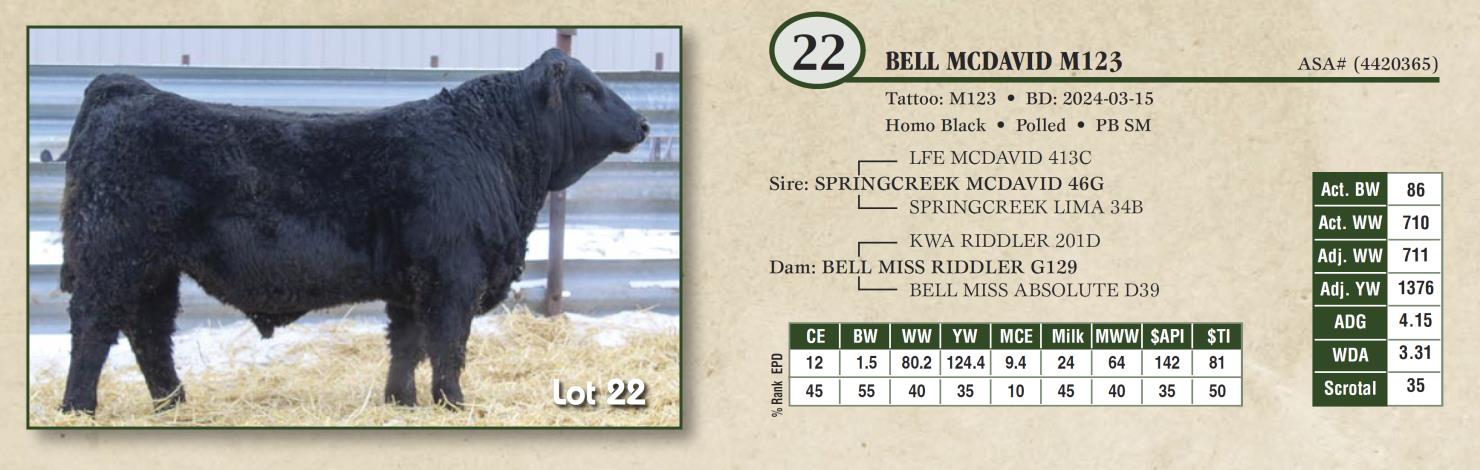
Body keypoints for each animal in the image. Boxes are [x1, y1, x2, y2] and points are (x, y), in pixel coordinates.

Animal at [57, 48, 648, 414]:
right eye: (589, 90)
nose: (643, 124)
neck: (492, 148)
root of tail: (126, 89)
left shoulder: (411, 284)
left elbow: (407, 345)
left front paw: (402, 401)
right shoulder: (454, 277)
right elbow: (448, 346)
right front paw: (454, 403)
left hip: (156, 269)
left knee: (149, 334)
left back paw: (174, 404)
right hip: (112, 258)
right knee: (94, 330)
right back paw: (79, 407)